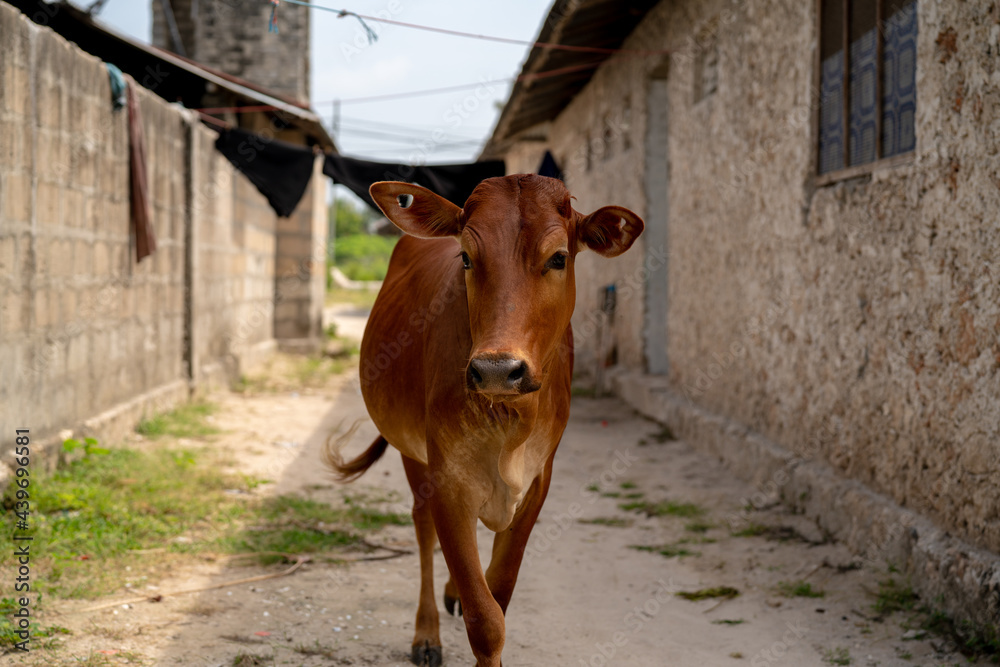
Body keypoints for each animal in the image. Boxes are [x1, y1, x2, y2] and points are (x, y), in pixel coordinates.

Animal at [326, 174, 643, 666]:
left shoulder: (536, 482)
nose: (497, 370)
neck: (510, 418)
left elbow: (498, 592)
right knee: (422, 528)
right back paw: (427, 633)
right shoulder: (448, 481)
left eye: (559, 257)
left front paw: (472, 590)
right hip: (412, 452)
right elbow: (486, 619)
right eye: (467, 258)